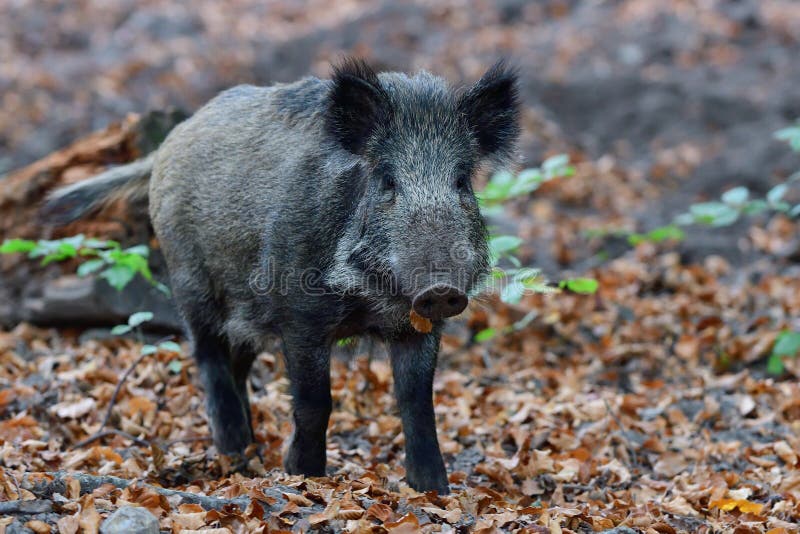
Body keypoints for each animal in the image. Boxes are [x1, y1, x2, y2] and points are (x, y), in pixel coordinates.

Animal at [43, 58, 520, 493]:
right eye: (387, 181)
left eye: (462, 182)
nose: (439, 287)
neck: (371, 298)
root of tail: (167, 146)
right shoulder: (300, 315)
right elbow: (315, 401)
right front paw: (303, 475)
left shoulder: (419, 326)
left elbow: (418, 403)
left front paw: (433, 490)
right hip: (189, 279)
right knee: (208, 357)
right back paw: (235, 452)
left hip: (245, 315)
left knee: (236, 365)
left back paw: (252, 451)